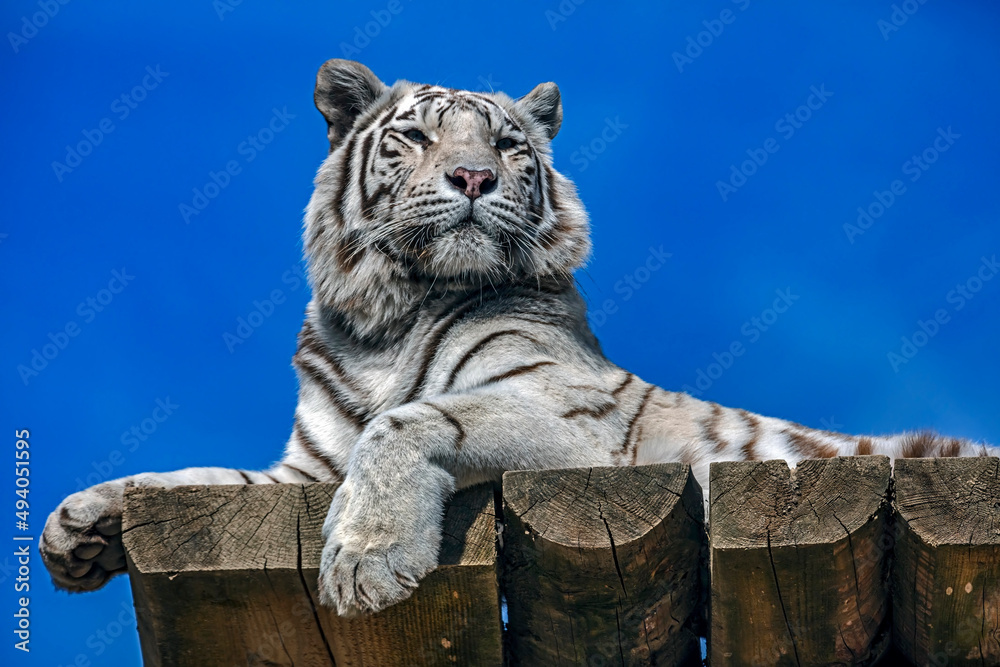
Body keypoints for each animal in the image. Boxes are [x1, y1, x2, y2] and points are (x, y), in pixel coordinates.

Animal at [41, 59, 996, 618]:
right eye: (416, 136)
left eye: (505, 142)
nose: (475, 176)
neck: (383, 320)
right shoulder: (300, 472)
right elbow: (194, 478)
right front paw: (77, 523)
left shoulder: (571, 420)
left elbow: (409, 422)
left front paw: (366, 559)